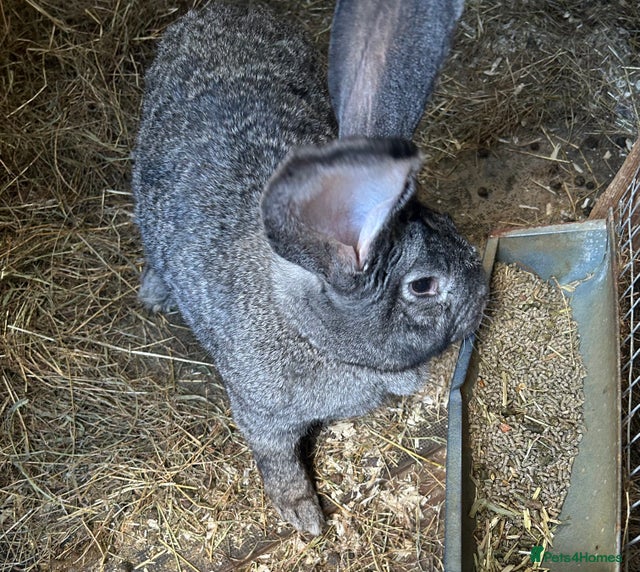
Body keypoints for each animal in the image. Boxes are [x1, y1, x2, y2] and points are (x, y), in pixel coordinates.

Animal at [132, 1, 486, 536]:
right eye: (423, 286)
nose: (484, 292)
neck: (308, 329)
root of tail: (217, 13)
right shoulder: (262, 412)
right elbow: (277, 460)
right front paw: (304, 516)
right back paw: (155, 292)